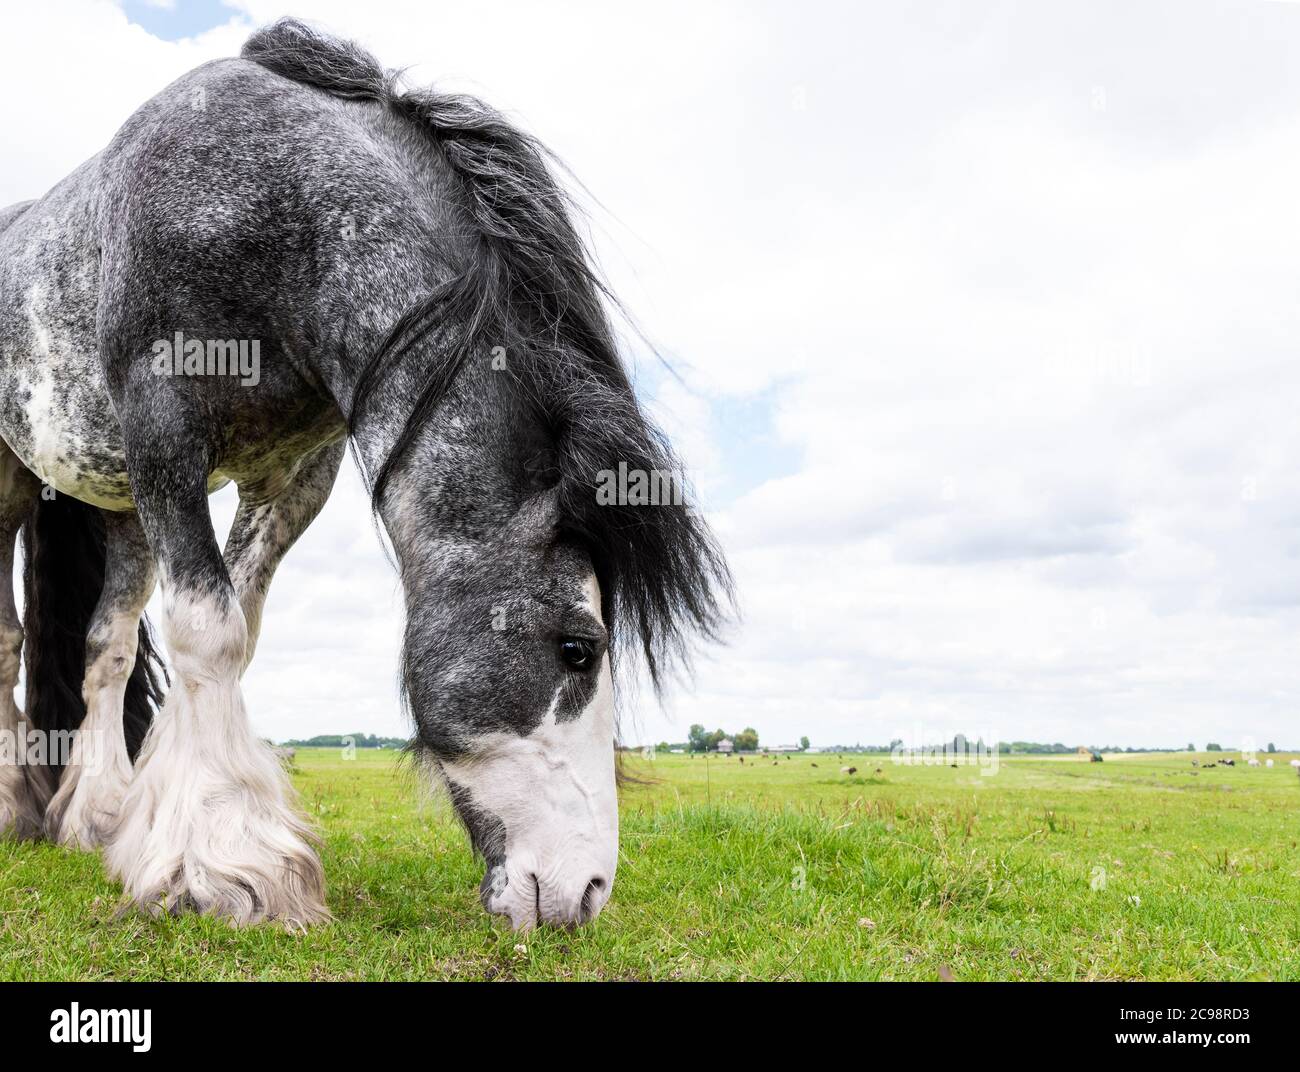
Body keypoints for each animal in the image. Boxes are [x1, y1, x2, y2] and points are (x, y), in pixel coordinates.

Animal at [0, 19, 729, 929]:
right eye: (578, 650)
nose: (590, 892)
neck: (272, 204)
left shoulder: (291, 476)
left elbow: (232, 632)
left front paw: (166, 826)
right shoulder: (164, 431)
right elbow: (208, 628)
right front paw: (229, 865)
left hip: (122, 504)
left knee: (105, 647)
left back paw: (93, 814)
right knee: (9, 640)